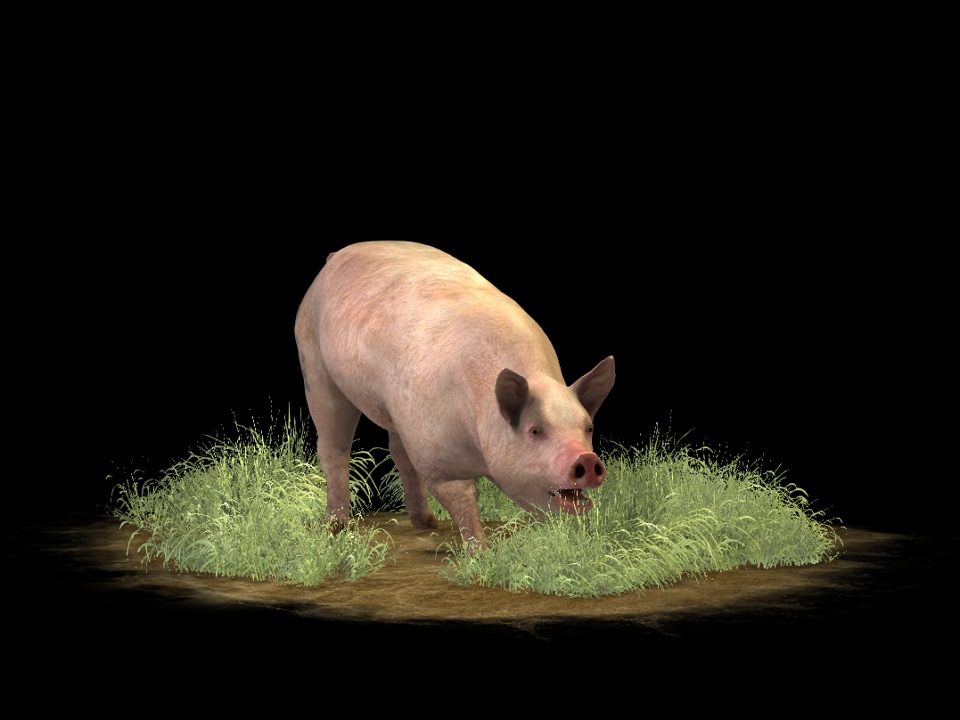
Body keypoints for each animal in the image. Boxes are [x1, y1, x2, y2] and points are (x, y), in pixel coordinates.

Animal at [294, 241, 615, 551]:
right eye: (534, 430)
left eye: (588, 428)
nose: (587, 459)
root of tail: (335, 256)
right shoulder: (439, 457)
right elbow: (464, 500)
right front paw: (481, 555)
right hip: (313, 362)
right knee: (333, 445)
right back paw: (337, 526)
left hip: (396, 409)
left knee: (398, 449)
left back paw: (428, 524)